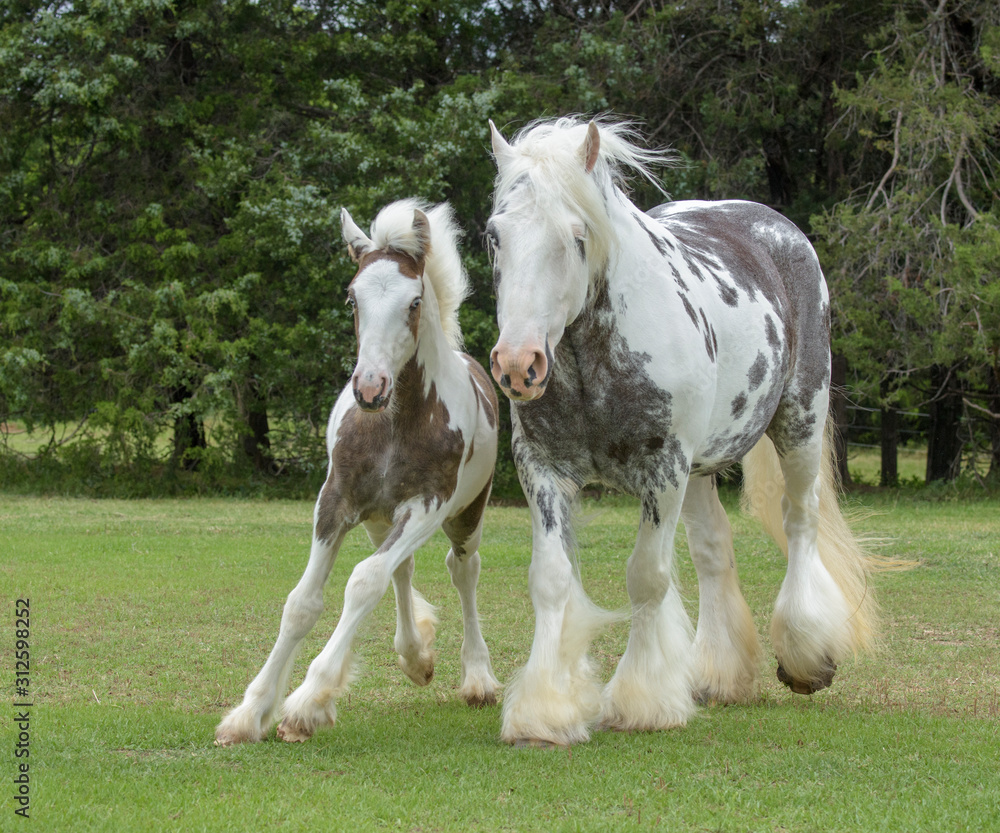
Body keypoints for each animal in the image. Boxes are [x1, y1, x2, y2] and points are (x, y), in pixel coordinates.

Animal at [215, 199, 501, 746]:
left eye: (414, 301)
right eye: (352, 299)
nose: (370, 387)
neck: (394, 423)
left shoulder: (428, 506)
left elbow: (363, 583)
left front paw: (305, 702)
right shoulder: (336, 501)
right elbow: (303, 602)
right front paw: (250, 711)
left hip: (466, 513)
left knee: (463, 571)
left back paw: (477, 677)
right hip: (378, 517)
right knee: (401, 569)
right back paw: (415, 656)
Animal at [486, 116, 882, 747]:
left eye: (576, 235)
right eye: (495, 236)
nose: (518, 364)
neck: (594, 360)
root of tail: (776, 228)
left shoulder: (662, 469)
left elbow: (646, 578)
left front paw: (641, 702)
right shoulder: (544, 469)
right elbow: (551, 578)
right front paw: (546, 710)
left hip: (799, 422)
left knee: (801, 522)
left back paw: (806, 656)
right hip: (701, 468)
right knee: (713, 548)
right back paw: (719, 673)